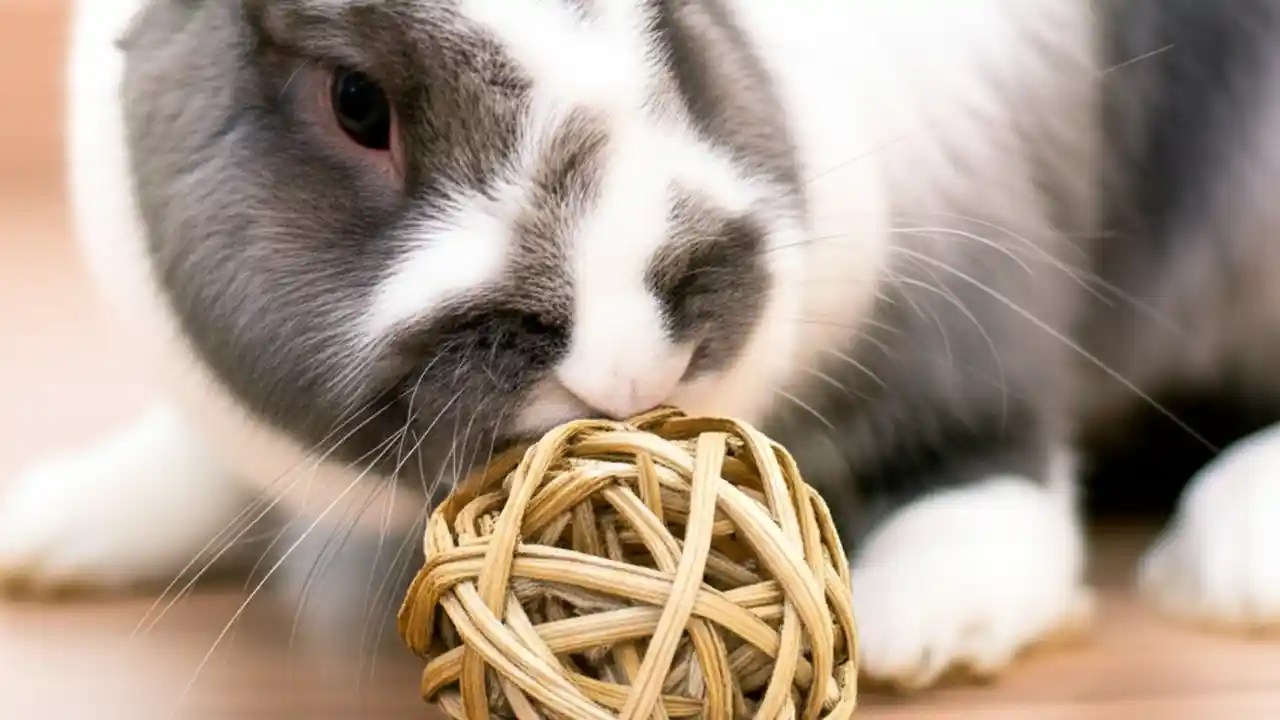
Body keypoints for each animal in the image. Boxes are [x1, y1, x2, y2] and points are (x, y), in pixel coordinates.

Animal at [3, 0, 1280, 692]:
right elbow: (205, 459)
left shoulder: (973, 230)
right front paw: (60, 524)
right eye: (356, 102)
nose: (624, 366)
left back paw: (1226, 566)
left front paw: (931, 623)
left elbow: (973, 447)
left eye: (671, 38)